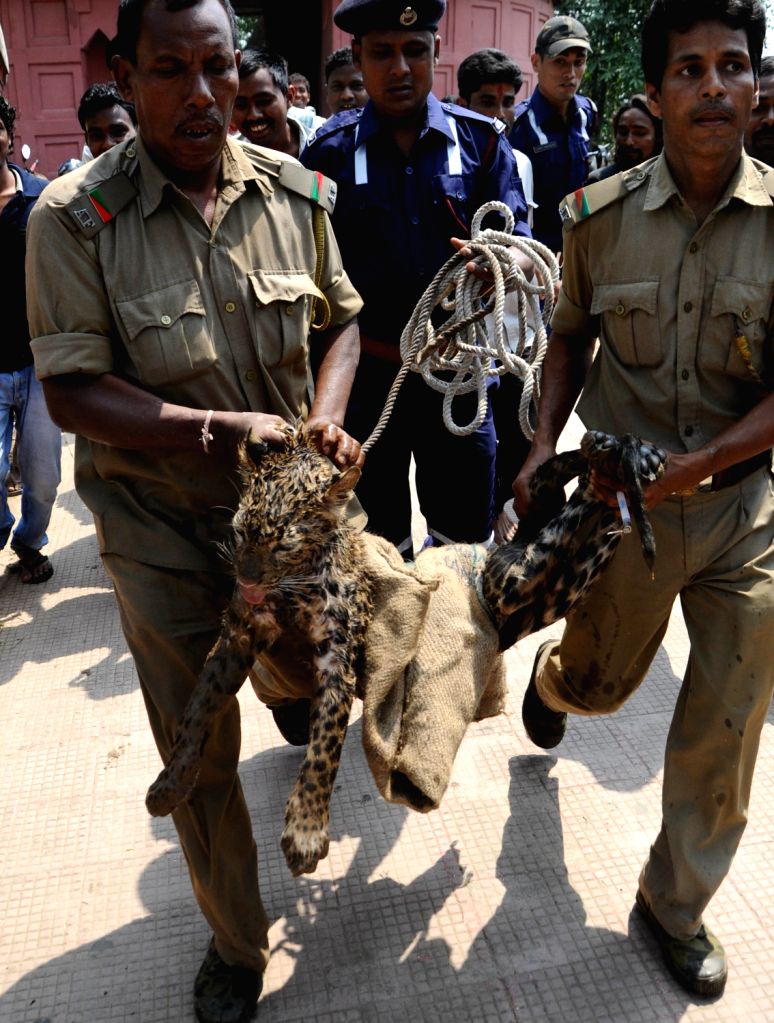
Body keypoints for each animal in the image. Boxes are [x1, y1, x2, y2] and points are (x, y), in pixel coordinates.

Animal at [145, 420, 374, 877]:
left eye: (283, 545)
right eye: (238, 533)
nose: (247, 580)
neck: (293, 590)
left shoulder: (335, 659)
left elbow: (323, 748)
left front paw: (305, 831)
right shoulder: (238, 636)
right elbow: (197, 709)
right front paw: (171, 783)